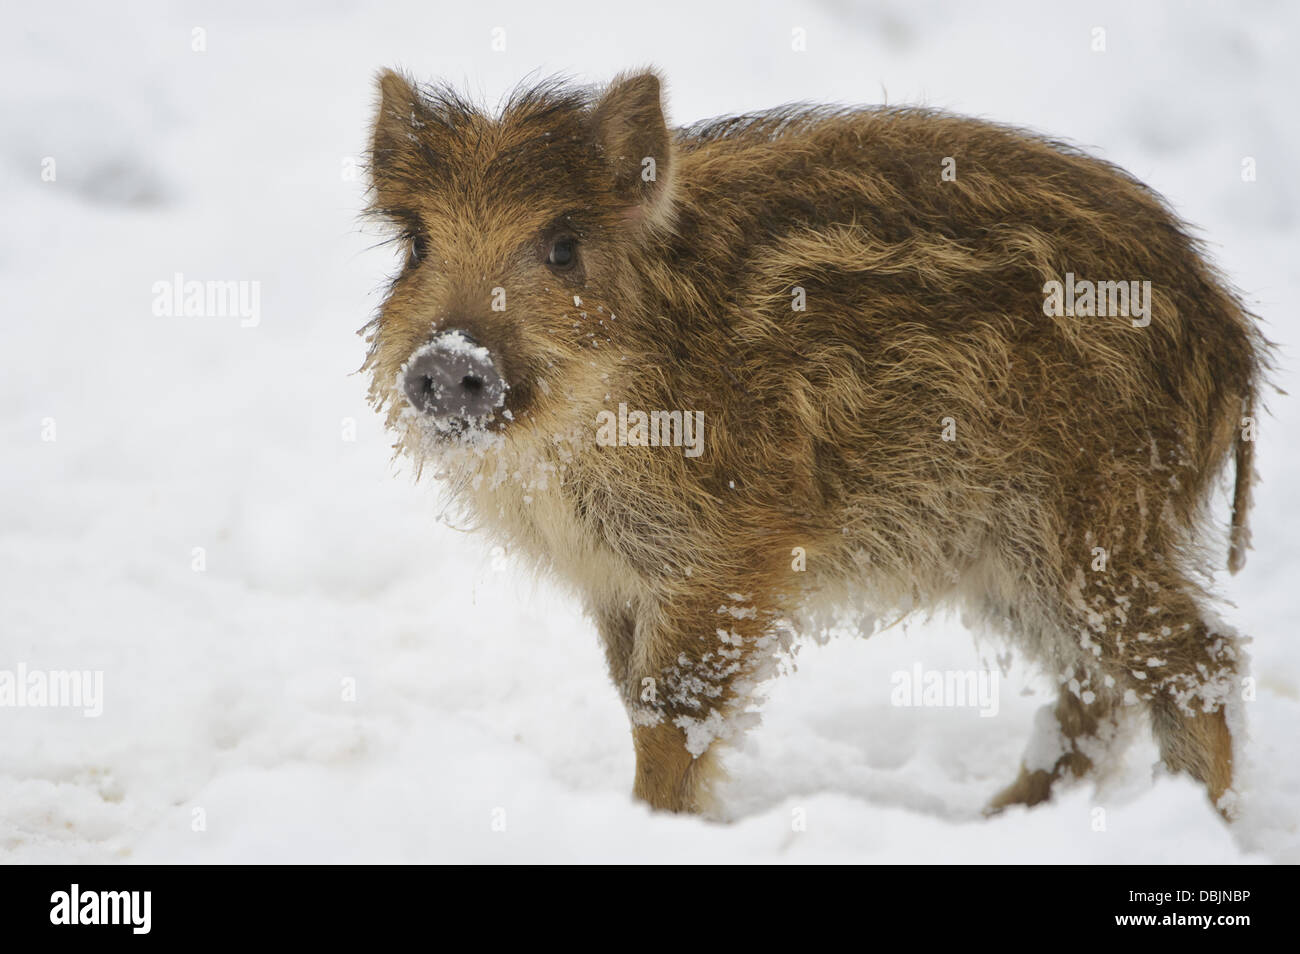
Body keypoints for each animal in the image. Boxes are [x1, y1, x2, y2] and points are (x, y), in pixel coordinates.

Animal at [361, 68, 1267, 817]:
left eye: (562, 246)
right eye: (417, 243)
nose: (449, 360)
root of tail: (1233, 338)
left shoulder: (728, 554)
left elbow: (673, 713)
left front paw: (655, 823)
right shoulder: (621, 578)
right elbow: (635, 699)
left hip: (1095, 524)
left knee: (1199, 666)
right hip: (1010, 555)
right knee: (1097, 693)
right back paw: (1006, 819)